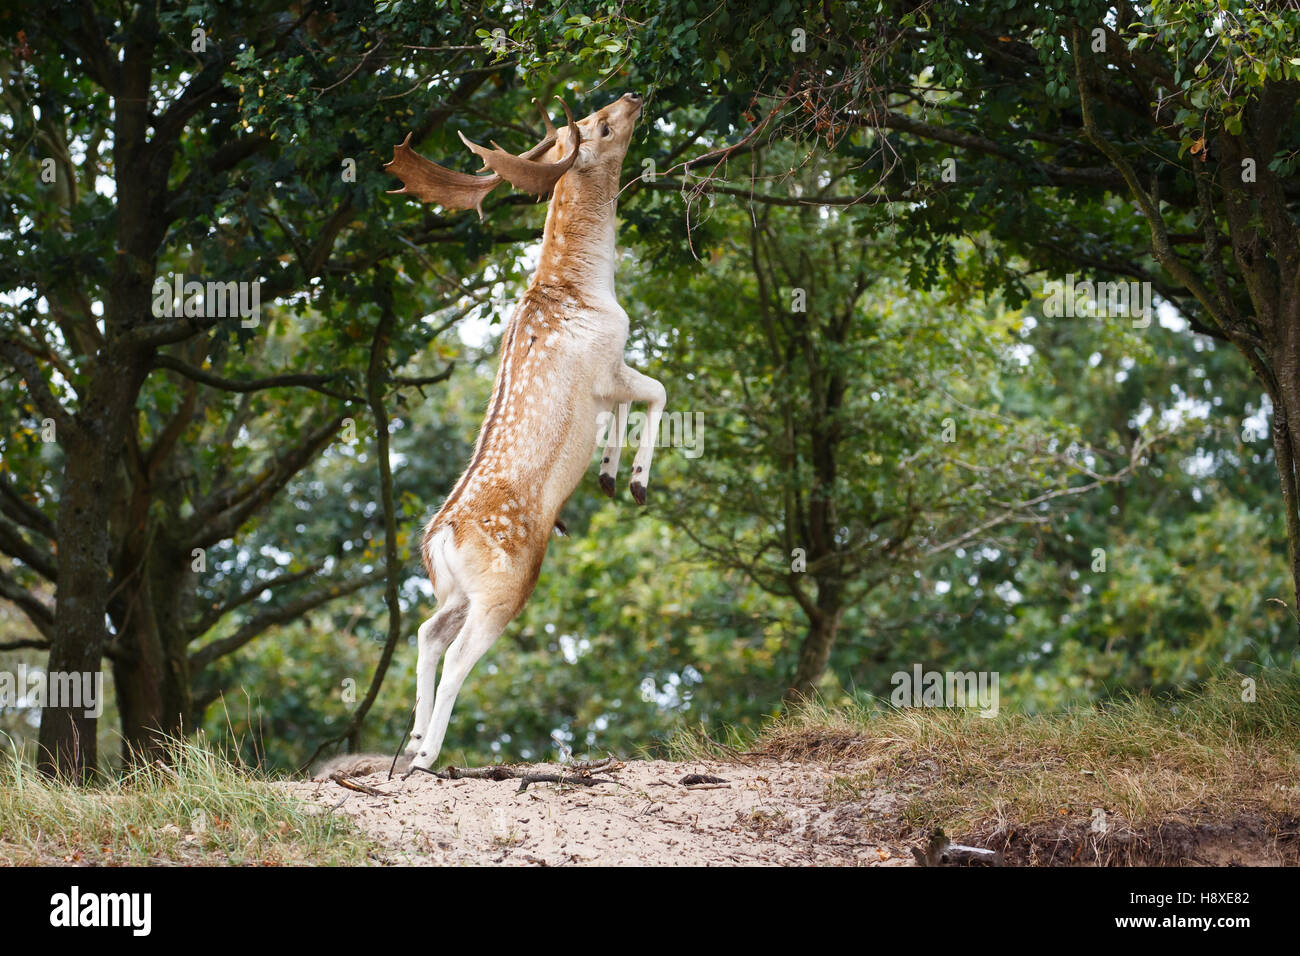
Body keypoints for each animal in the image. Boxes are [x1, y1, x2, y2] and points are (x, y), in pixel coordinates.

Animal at [384, 92, 664, 773]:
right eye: (600, 126)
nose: (634, 96)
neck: (587, 286)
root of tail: (441, 538)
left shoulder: (609, 379)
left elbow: (630, 408)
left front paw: (612, 475)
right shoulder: (609, 364)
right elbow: (659, 391)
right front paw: (637, 482)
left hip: (456, 590)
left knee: (427, 633)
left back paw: (413, 741)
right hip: (506, 585)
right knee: (459, 655)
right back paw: (429, 754)